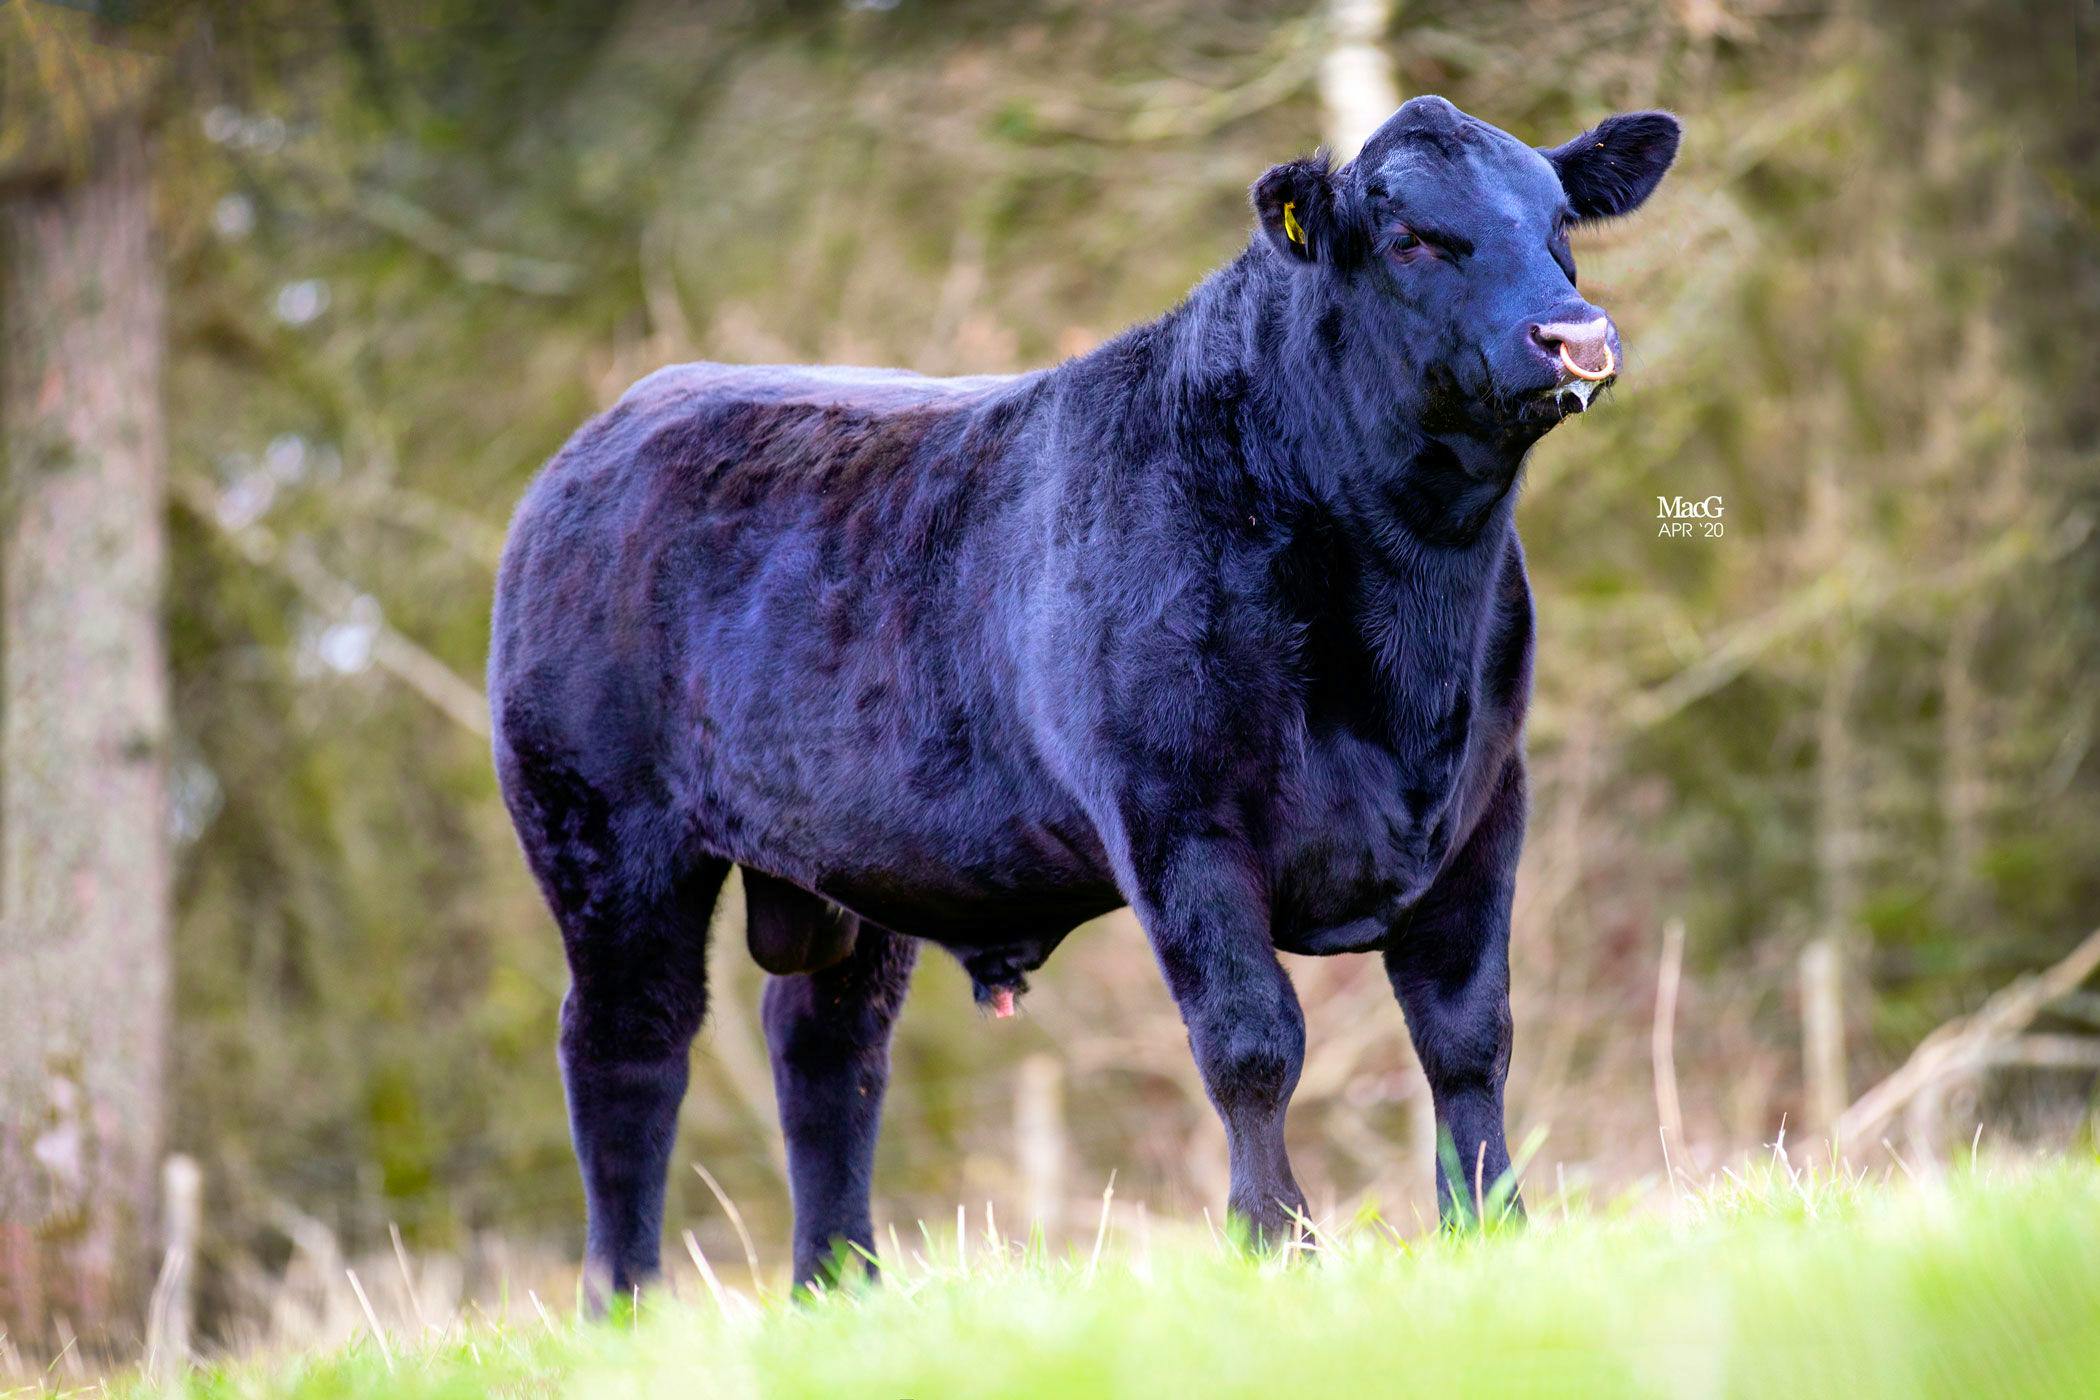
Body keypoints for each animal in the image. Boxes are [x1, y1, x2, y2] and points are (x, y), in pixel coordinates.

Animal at [489, 95, 1680, 1303]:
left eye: (1558, 221)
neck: (1406, 627)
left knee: (828, 1051)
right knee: (628, 1049)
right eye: (1411, 238)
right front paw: (1277, 1243)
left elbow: (1468, 1036)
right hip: (605, 839)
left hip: (848, 859)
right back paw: (627, 1306)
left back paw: (843, 1287)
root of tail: (620, 421)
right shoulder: (1178, 817)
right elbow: (1253, 1042)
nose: (1576, 336)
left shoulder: (1484, 805)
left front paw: (1494, 1229)